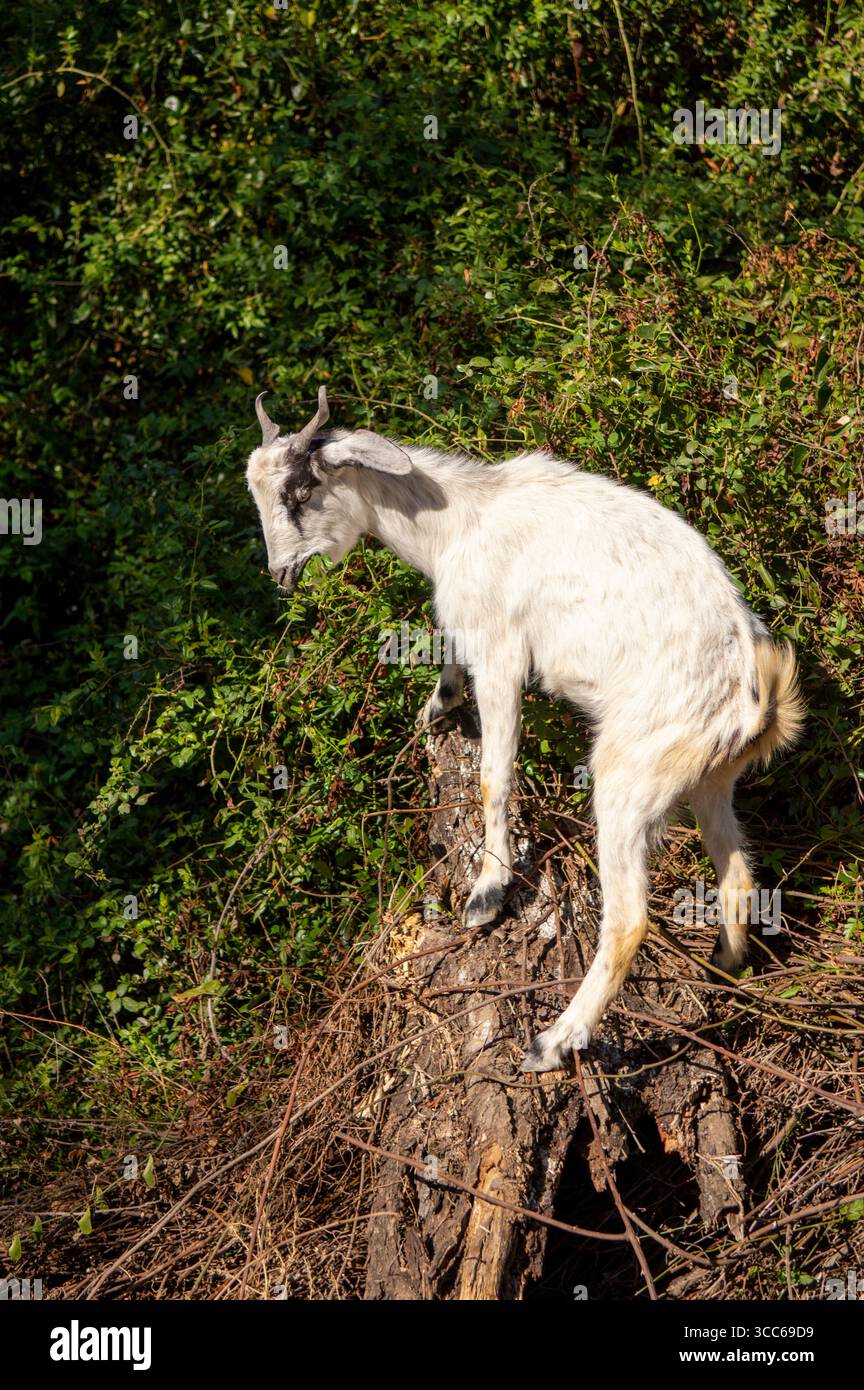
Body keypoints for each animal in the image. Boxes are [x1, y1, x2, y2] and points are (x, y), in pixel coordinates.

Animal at [246, 386, 804, 1072]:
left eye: (301, 490)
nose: (281, 573)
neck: (460, 520)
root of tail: (753, 700)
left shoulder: (503, 655)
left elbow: (495, 774)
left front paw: (488, 891)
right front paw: (437, 706)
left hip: (629, 775)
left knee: (629, 919)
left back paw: (553, 1042)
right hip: (708, 780)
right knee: (737, 876)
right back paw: (724, 967)